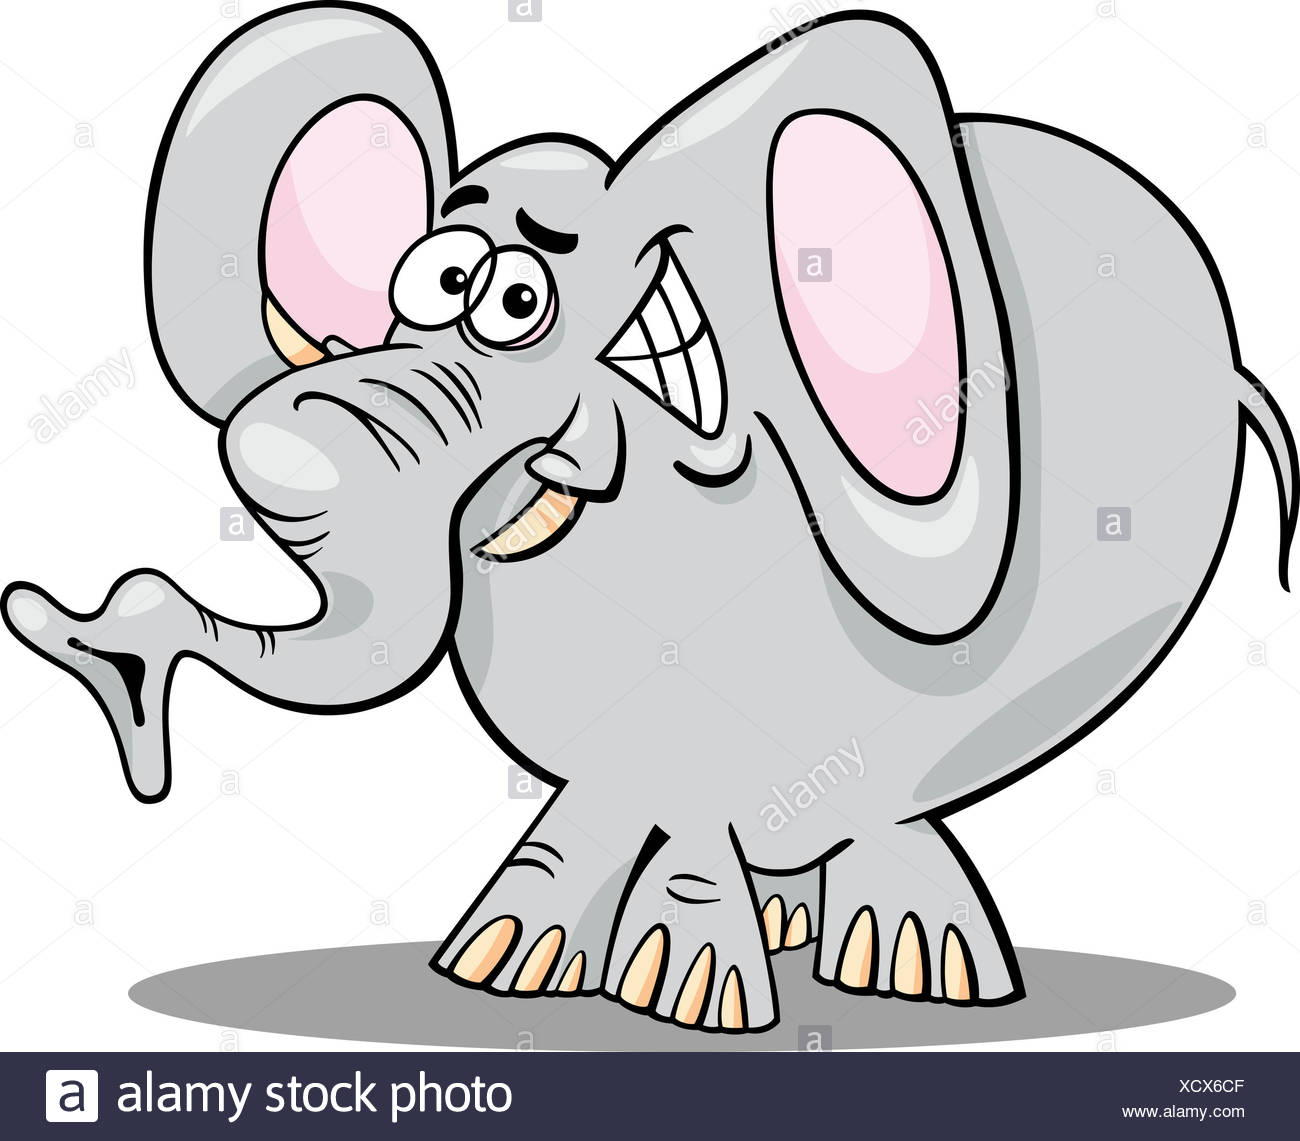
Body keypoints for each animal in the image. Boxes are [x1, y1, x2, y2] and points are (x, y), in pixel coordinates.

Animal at [4, 3, 1296, 1034]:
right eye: (434, 278)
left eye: (520, 305)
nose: (110, 649)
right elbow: (601, 802)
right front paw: (500, 967)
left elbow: (689, 804)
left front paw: (684, 996)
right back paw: (799, 925)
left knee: (898, 803)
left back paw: (912, 964)